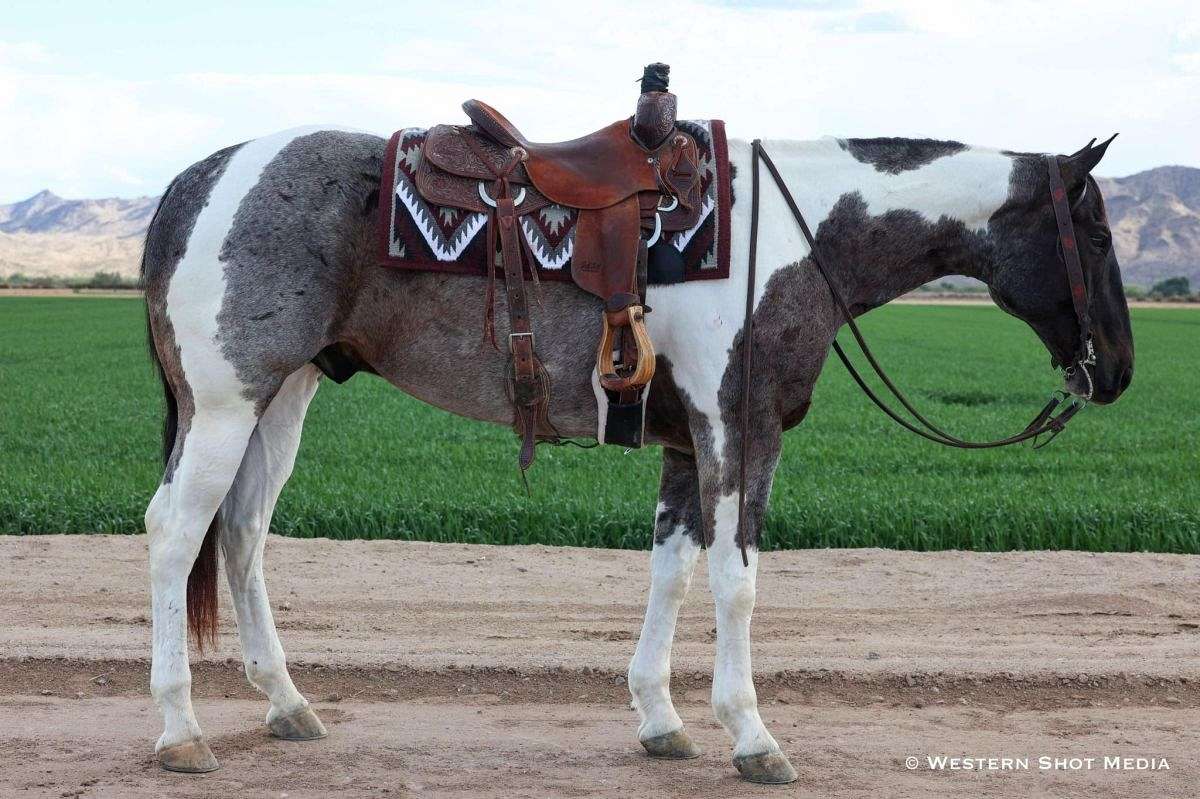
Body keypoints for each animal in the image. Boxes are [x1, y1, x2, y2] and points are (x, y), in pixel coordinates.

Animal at [140, 125, 1133, 783]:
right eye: (1094, 234)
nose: (1118, 371)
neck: (796, 235)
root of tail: (203, 173)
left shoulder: (689, 445)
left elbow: (672, 572)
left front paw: (661, 717)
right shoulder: (742, 429)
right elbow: (737, 581)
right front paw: (752, 734)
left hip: (282, 400)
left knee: (242, 535)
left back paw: (286, 704)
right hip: (225, 405)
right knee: (174, 534)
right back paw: (180, 728)